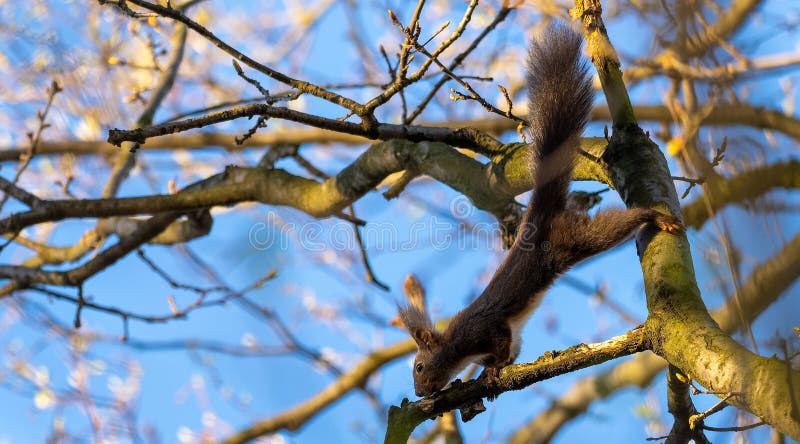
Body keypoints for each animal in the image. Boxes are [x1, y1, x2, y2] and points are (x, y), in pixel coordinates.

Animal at [398, 24, 682, 398]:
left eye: (419, 366)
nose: (418, 393)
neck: (456, 345)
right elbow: (515, 347)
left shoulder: (484, 330)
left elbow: (502, 345)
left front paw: (491, 370)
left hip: (569, 242)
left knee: (613, 227)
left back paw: (655, 217)